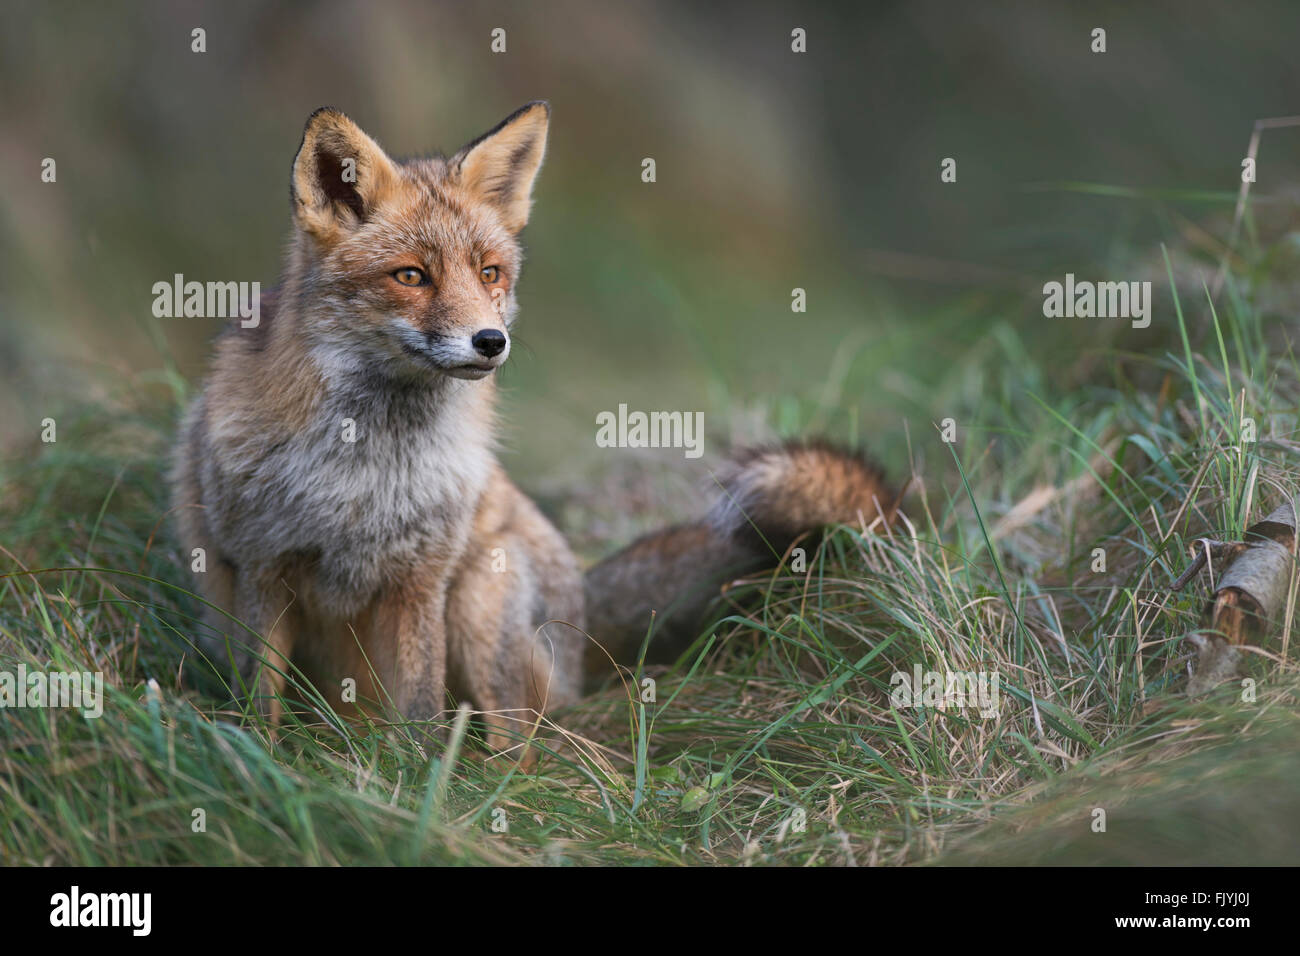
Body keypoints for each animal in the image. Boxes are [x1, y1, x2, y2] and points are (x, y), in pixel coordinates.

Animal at [171, 101, 899, 750]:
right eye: (411, 276)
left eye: (489, 273)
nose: (490, 341)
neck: (365, 468)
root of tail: (581, 615)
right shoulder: (263, 572)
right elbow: (260, 703)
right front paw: (259, 763)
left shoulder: (421, 582)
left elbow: (418, 720)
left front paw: (417, 791)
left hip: (478, 602)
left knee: (521, 744)